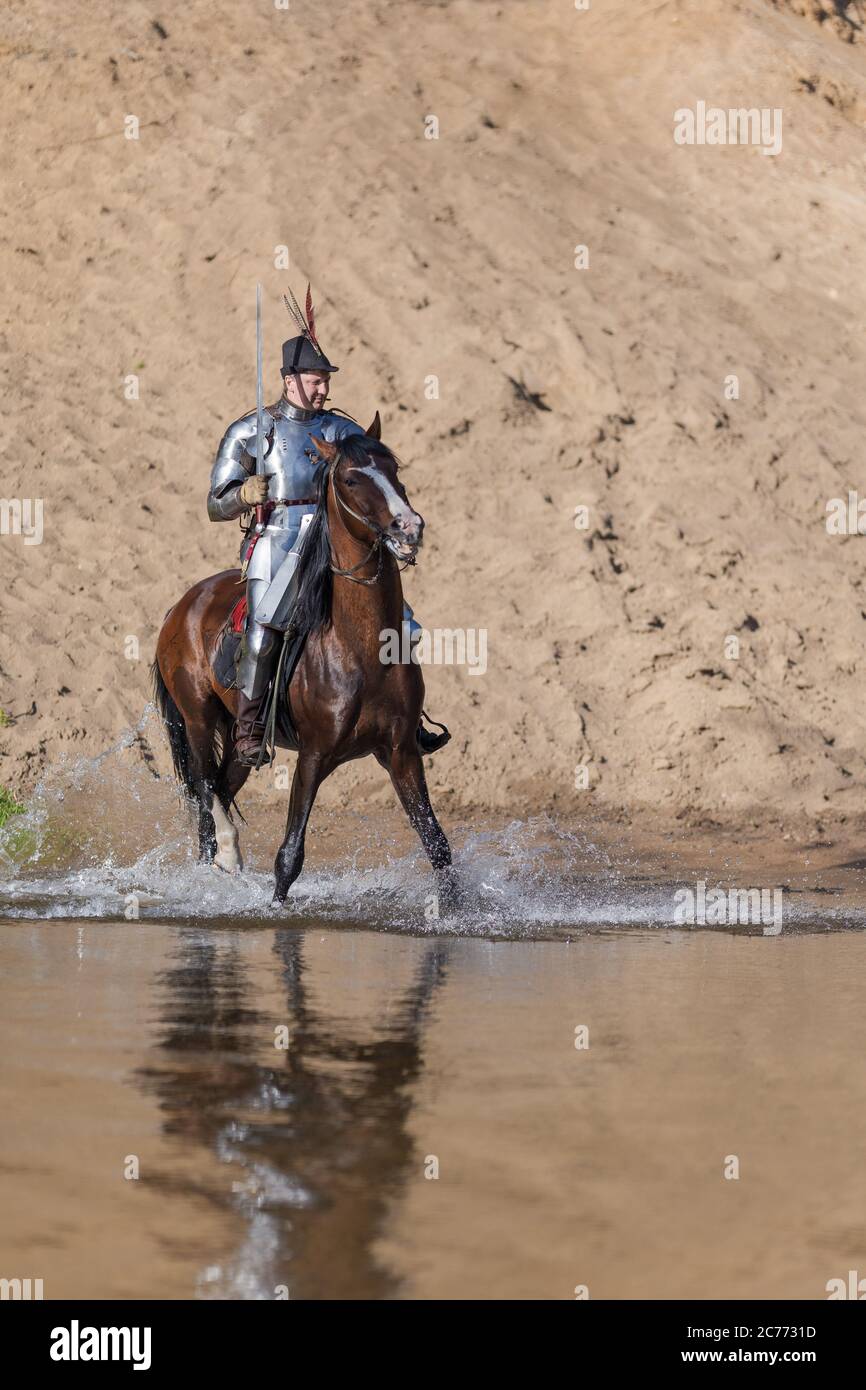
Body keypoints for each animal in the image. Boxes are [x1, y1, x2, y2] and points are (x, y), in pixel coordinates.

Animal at [151, 415, 457, 908]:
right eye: (351, 479)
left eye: (393, 468)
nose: (409, 526)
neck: (360, 650)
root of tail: (181, 607)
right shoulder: (313, 757)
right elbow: (289, 855)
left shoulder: (402, 753)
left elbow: (438, 845)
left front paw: (450, 910)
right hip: (196, 718)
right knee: (205, 785)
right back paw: (230, 855)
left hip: (239, 740)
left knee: (216, 795)